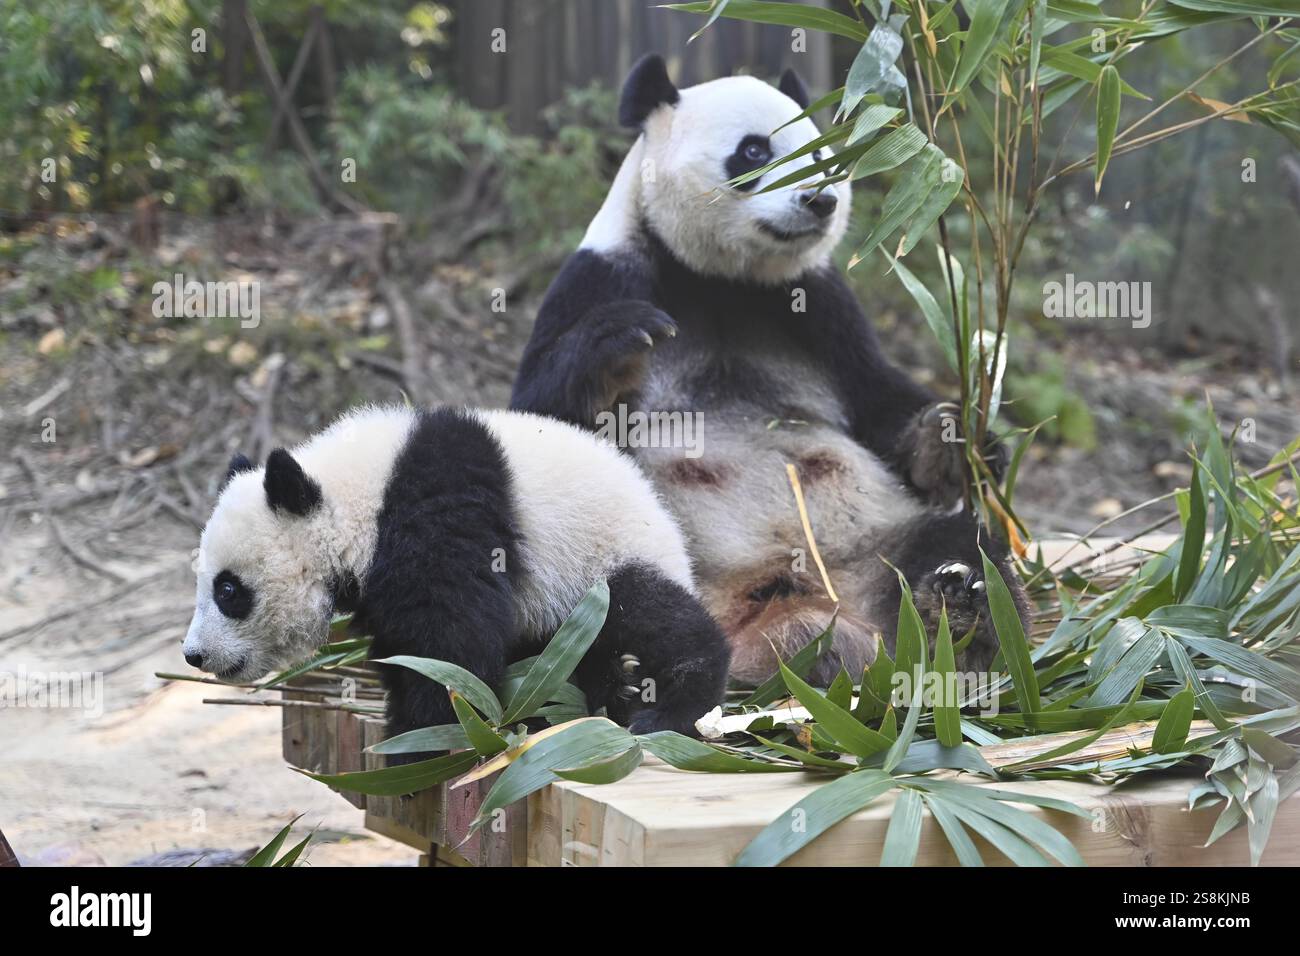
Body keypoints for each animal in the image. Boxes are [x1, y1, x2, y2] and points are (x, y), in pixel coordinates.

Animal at [181, 404, 731, 748]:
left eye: (228, 590)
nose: (194, 655)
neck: (358, 492)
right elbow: (406, 647)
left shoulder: (438, 512)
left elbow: (451, 637)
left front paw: (424, 734)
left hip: (599, 560)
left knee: (646, 613)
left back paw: (667, 706)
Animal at [511, 55, 1029, 686]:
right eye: (755, 151)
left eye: (822, 153)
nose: (820, 200)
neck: (719, 279)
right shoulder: (602, 274)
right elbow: (543, 420)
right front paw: (619, 348)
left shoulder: (820, 306)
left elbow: (879, 403)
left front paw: (949, 441)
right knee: (597, 593)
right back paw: (642, 666)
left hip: (879, 541)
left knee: (960, 544)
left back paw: (959, 610)